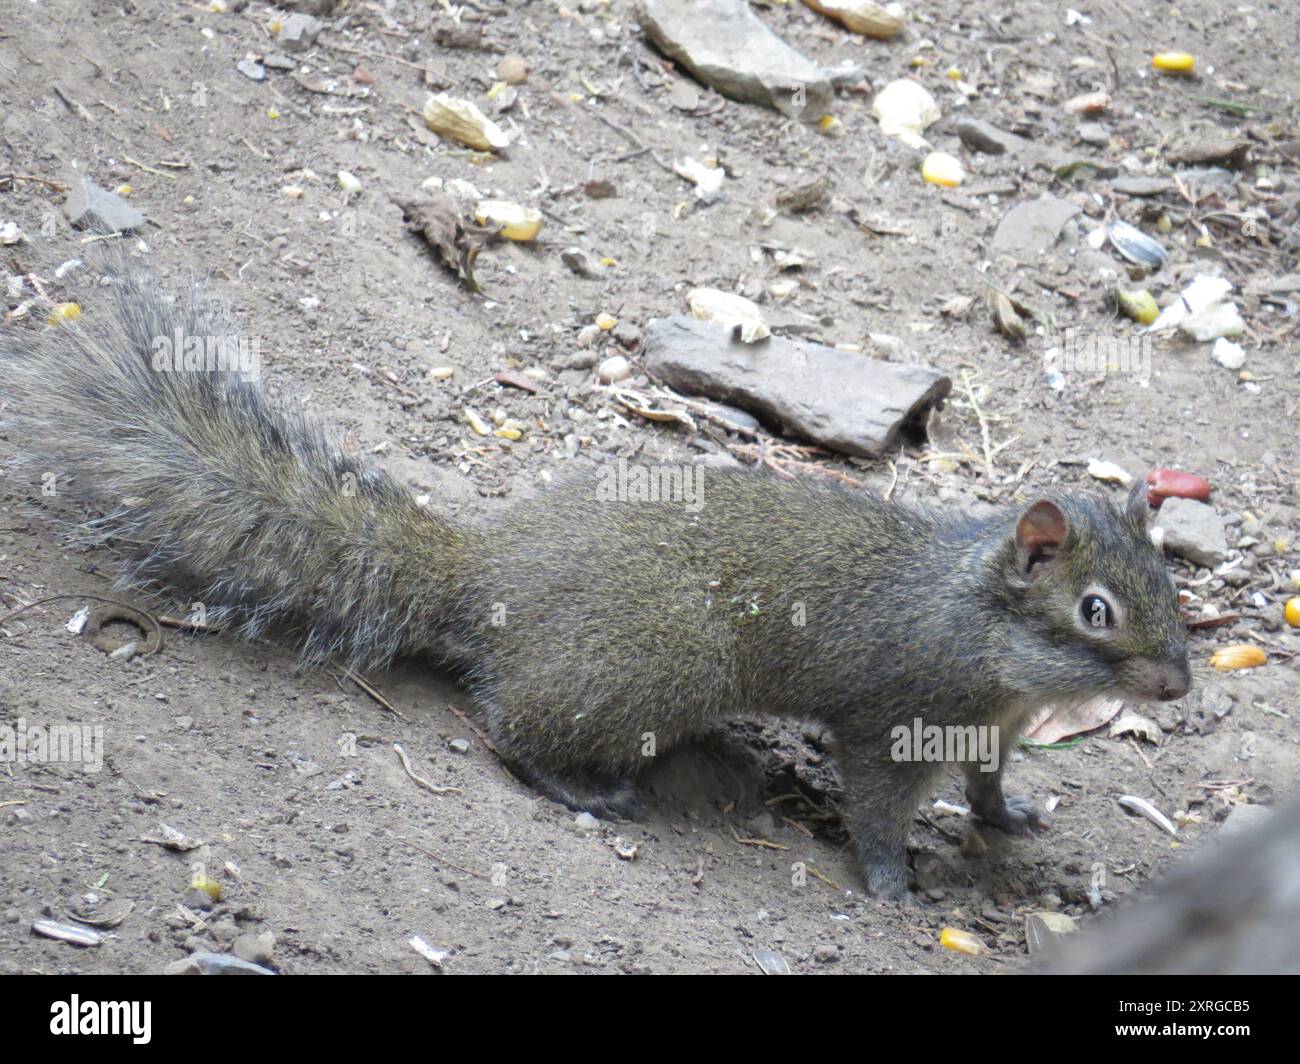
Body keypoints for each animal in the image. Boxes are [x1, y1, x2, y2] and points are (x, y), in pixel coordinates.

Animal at [1, 260, 1192, 899]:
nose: (1178, 686)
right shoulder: (894, 718)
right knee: (511, 731)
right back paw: (583, 784)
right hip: (658, 666)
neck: (993, 647)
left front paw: (1009, 816)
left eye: (1170, 587)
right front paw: (893, 880)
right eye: (1095, 610)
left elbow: (987, 784)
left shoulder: (992, 728)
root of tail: (489, 576)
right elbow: (876, 806)